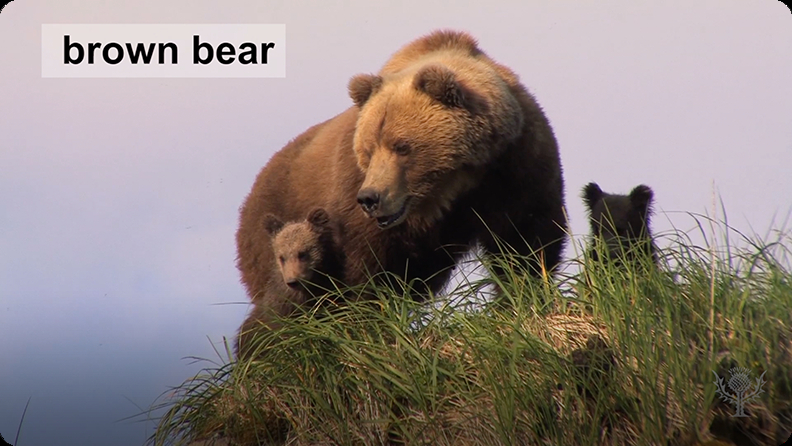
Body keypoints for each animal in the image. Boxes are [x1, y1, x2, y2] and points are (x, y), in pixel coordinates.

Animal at [235, 29, 567, 317]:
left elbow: (525, 243)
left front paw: (522, 300)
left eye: (402, 146)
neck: (456, 187)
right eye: (368, 149)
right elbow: (369, 275)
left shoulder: (515, 167)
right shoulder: (359, 213)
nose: (370, 198)